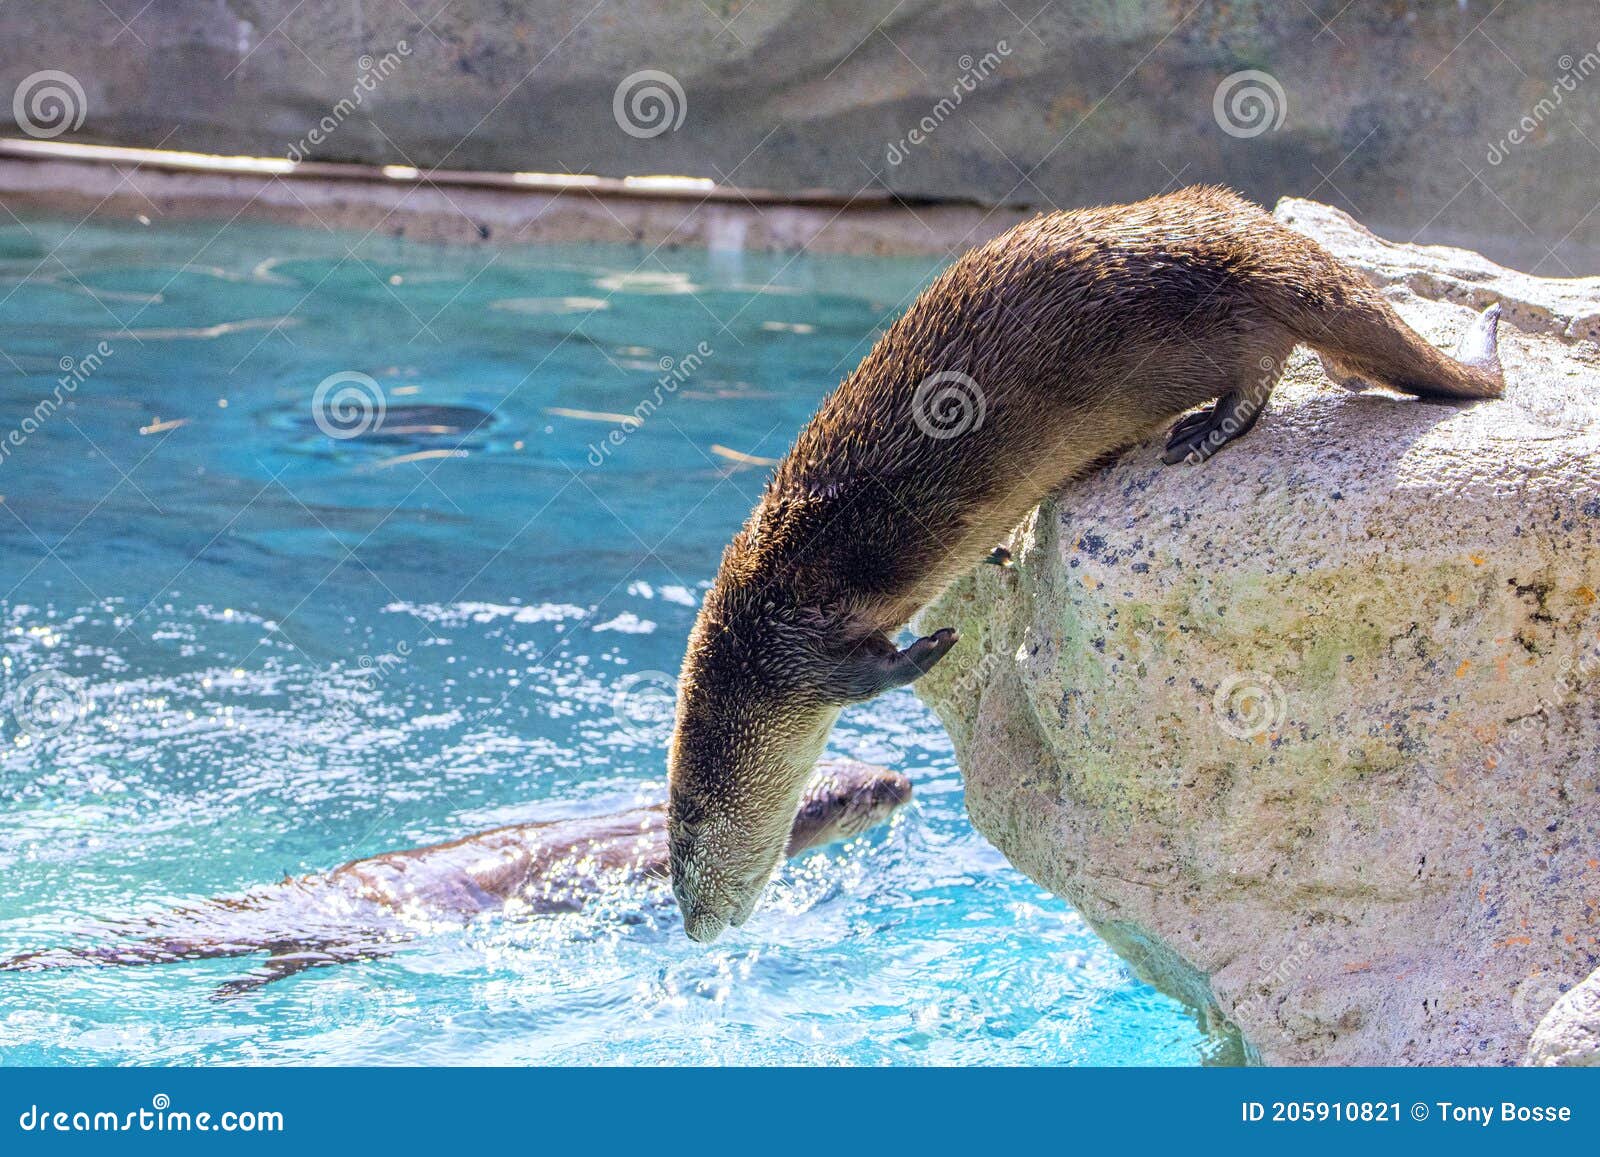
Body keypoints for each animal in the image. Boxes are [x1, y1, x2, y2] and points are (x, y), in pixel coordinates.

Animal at [668, 186, 1504, 942]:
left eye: (681, 868)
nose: (693, 928)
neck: (742, 657)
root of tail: (1257, 242)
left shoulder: (791, 653)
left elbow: (869, 672)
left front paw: (935, 645)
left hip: (1216, 326)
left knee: (1264, 367)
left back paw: (1207, 431)